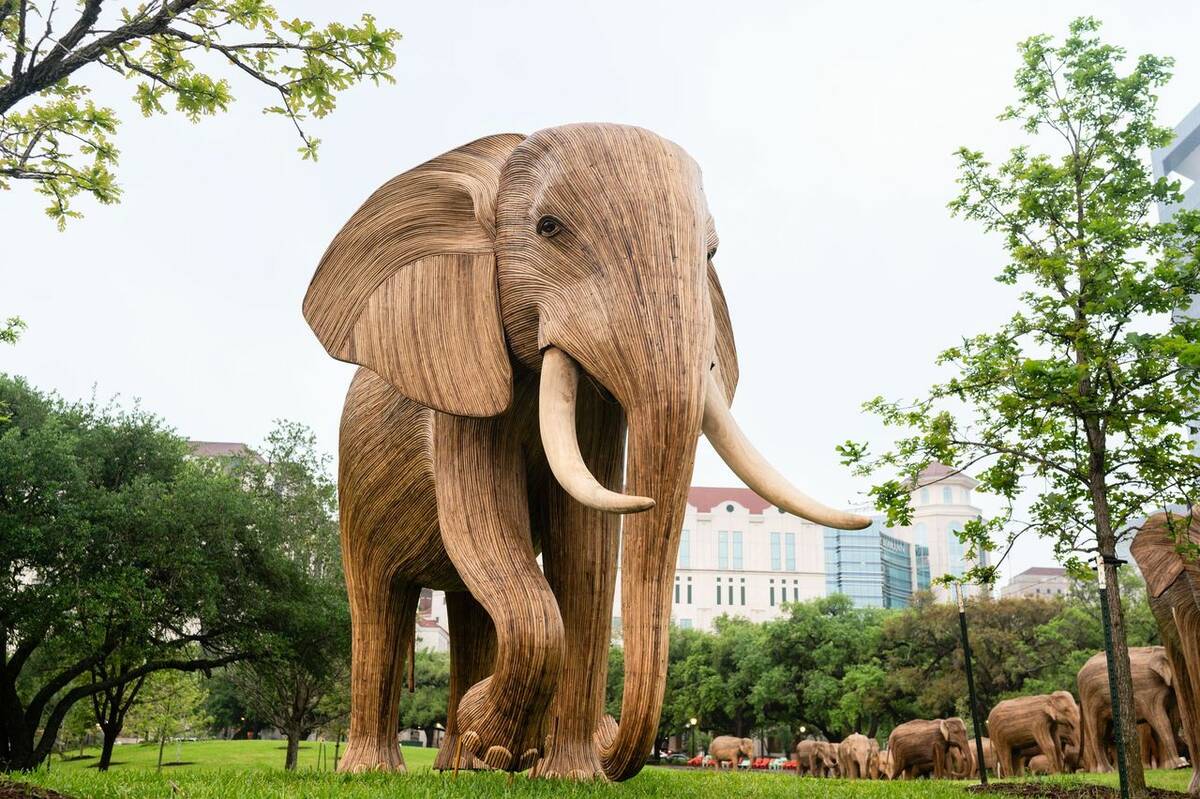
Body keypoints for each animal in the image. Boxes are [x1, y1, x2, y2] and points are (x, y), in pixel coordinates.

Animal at [302, 124, 869, 779]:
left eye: (710, 255)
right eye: (548, 228)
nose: (613, 737)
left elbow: (588, 547)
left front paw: (554, 770)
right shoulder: (459, 385)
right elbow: (491, 523)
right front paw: (498, 743)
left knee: (469, 611)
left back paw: (455, 764)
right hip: (355, 481)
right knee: (376, 605)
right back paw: (377, 768)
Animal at [1077, 645, 1185, 777]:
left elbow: (1167, 722)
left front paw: (1168, 767)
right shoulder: (1150, 691)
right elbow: (1161, 721)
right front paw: (1180, 765)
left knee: (1105, 733)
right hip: (1090, 698)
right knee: (1097, 733)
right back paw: (1107, 771)